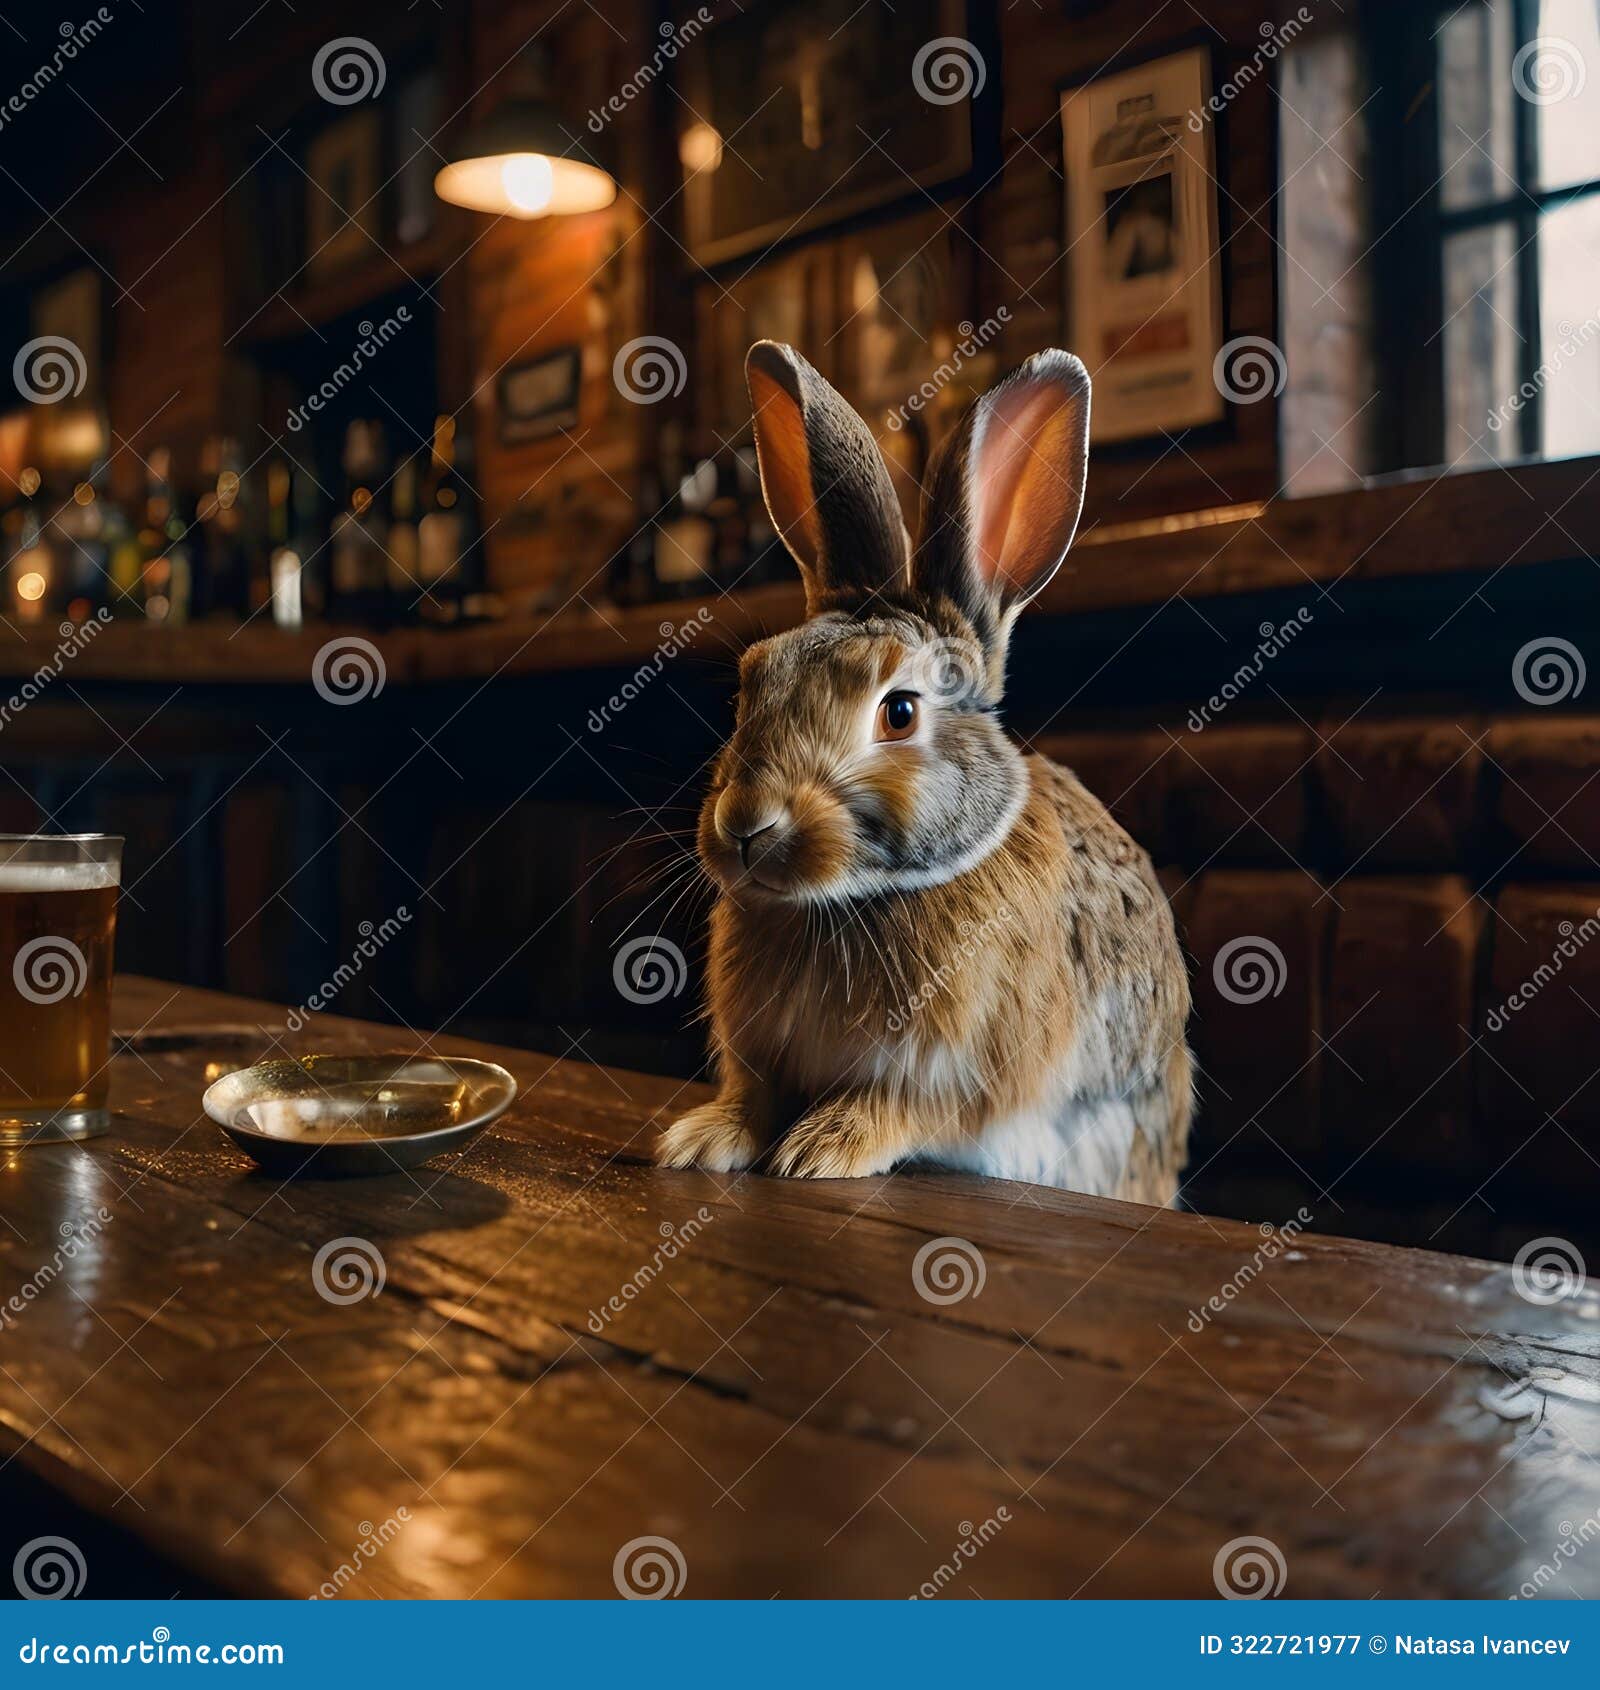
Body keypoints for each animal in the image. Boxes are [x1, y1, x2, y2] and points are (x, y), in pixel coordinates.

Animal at [656, 340, 1192, 1204]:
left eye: (900, 712)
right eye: (750, 682)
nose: (746, 829)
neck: (849, 902)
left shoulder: (958, 1067)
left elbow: (901, 1107)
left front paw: (822, 1148)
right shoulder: (760, 1057)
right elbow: (753, 1097)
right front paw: (702, 1139)